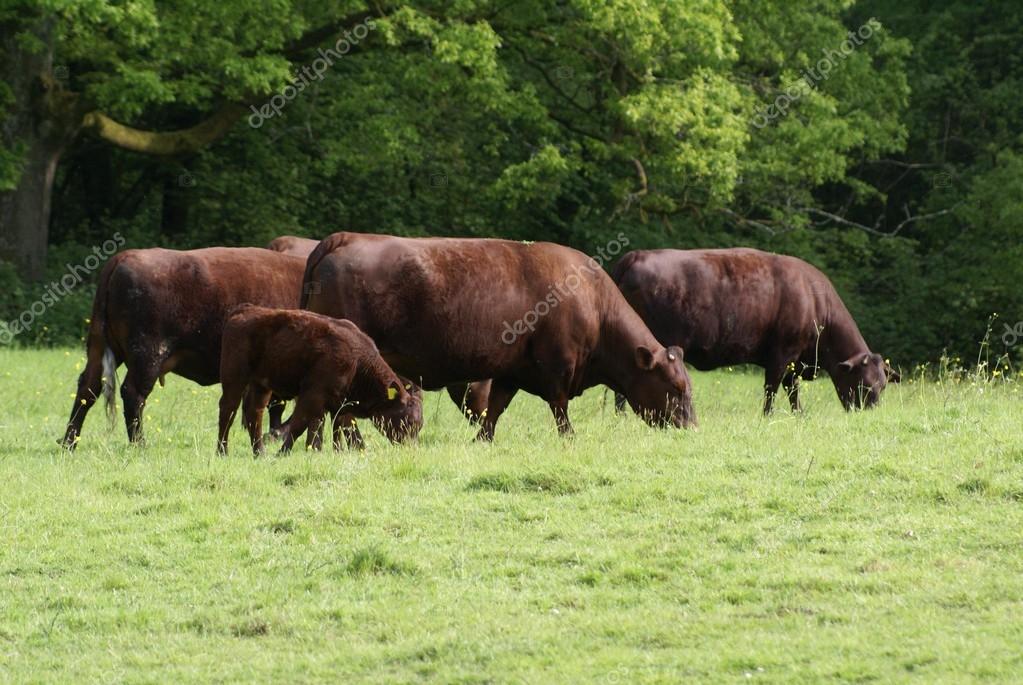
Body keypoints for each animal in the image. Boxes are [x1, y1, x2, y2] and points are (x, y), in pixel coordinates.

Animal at [60, 248, 307, 449]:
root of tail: (122, 258)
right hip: (147, 357)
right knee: (132, 393)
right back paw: (139, 444)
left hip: (99, 348)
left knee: (88, 388)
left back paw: (69, 442)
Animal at [217, 305, 422, 455]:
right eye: (408, 421)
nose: (410, 448)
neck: (357, 361)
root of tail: (243, 311)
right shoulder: (312, 396)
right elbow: (301, 425)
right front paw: (284, 452)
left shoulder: (339, 402)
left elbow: (340, 427)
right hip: (234, 378)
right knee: (228, 409)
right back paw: (222, 451)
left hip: (261, 384)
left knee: (254, 412)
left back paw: (260, 453)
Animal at [300, 232, 696, 442]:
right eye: (676, 388)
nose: (692, 428)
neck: (593, 302)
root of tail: (346, 237)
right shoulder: (557, 367)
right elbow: (560, 409)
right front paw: (569, 438)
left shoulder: (511, 371)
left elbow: (494, 410)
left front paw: (481, 440)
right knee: (341, 412)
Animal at [610, 248, 899, 414]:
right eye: (863, 386)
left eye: (882, 386)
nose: (869, 414)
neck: (814, 299)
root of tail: (635, 256)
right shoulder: (781, 355)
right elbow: (773, 389)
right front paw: (767, 415)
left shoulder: (793, 362)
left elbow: (792, 391)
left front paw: (799, 415)